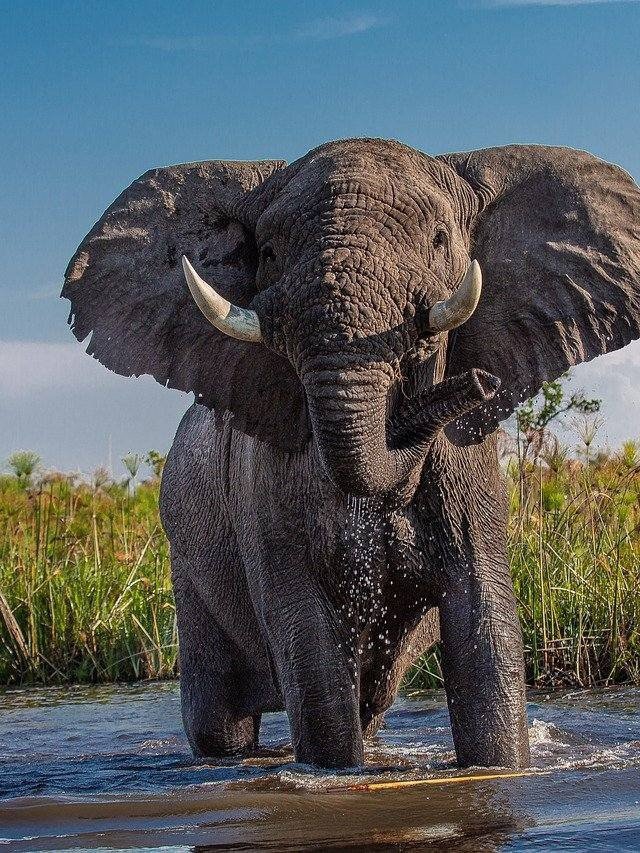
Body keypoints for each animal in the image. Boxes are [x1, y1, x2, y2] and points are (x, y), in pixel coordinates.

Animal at [63, 139, 640, 770]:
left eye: (440, 239)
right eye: (268, 253)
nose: (477, 383)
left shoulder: (470, 468)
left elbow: (485, 626)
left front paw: (499, 768)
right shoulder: (265, 483)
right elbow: (307, 642)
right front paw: (333, 774)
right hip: (188, 557)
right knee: (222, 720)